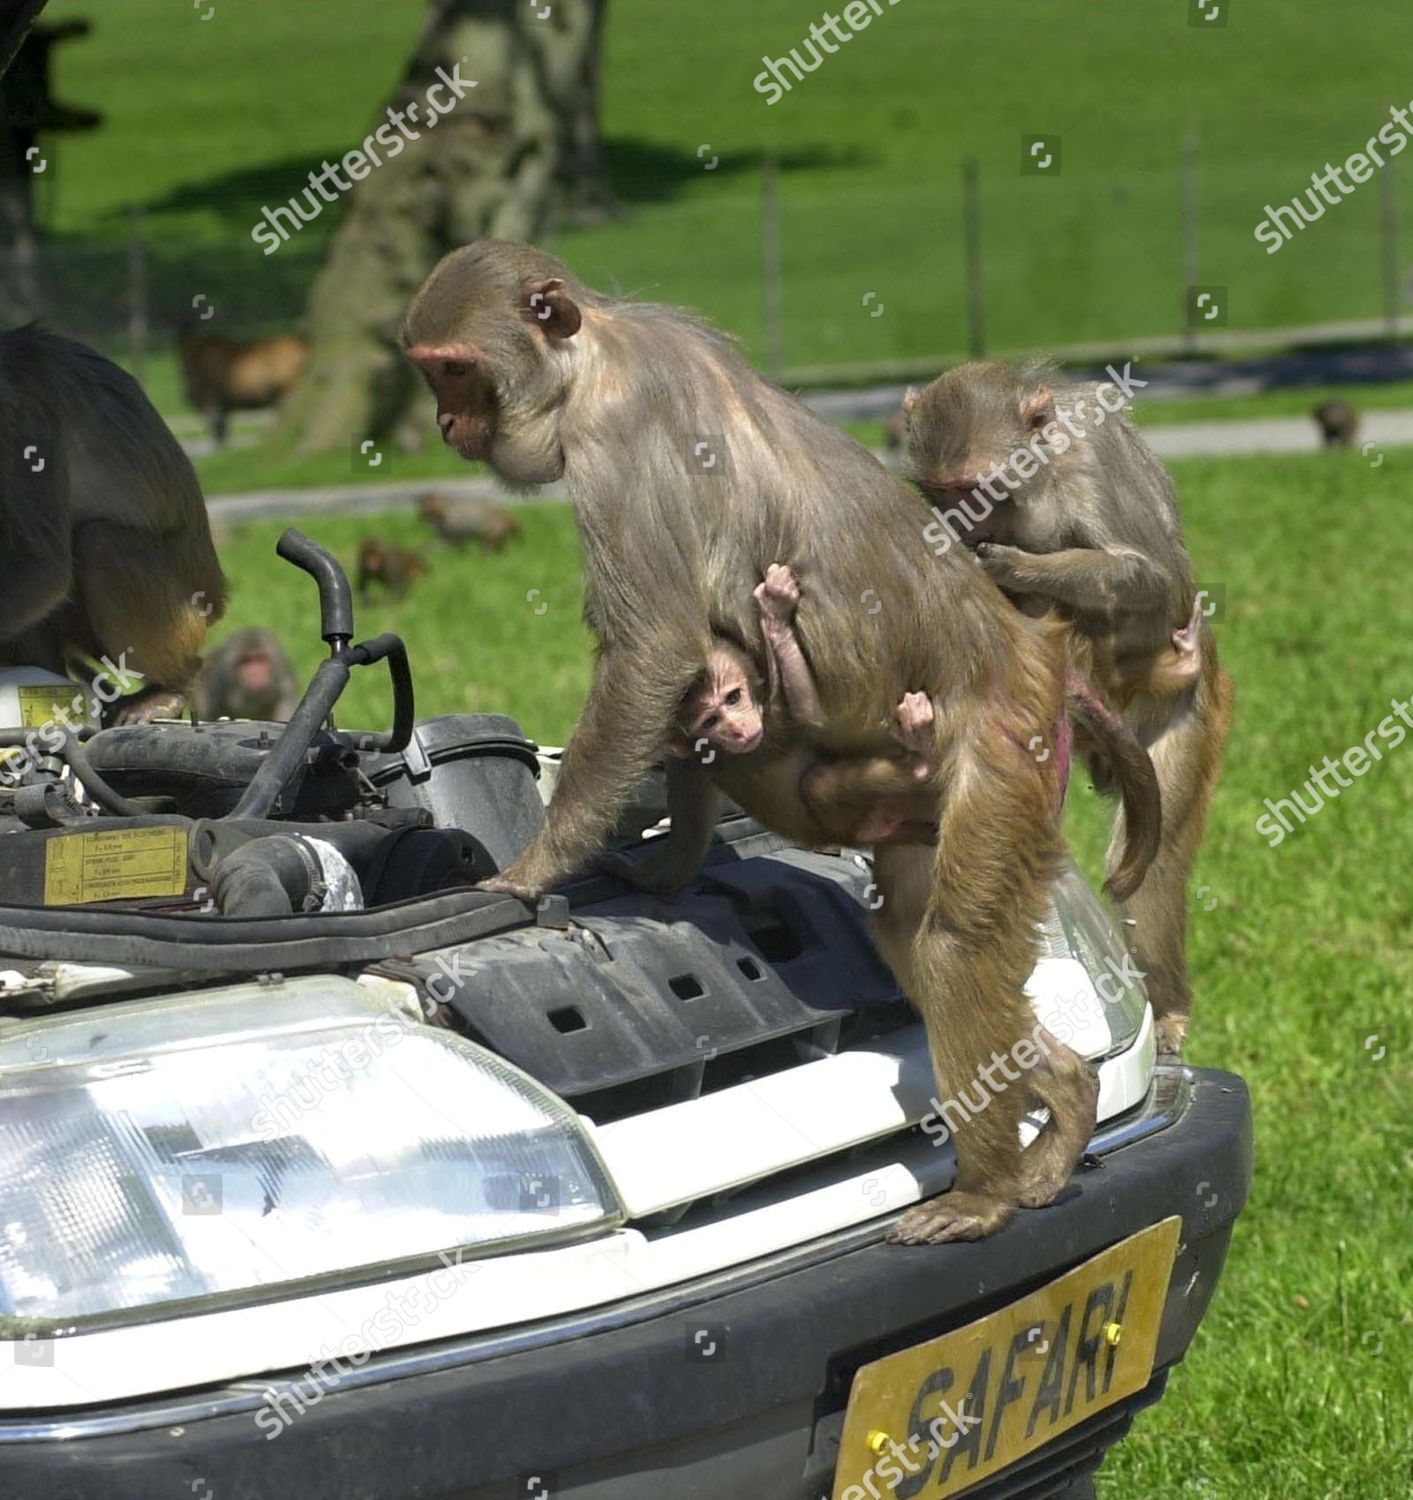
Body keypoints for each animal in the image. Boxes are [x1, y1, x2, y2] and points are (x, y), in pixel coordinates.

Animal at [0, 326, 227, 722]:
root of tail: (218, 597)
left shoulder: (22, 419)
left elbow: (42, 568)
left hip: (187, 616)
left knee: (101, 542)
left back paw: (173, 686)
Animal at [403, 240, 1103, 1242]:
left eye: (454, 370)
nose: (442, 418)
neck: (594, 354)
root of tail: (1034, 661)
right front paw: (667, 866)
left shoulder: (618, 442)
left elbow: (656, 646)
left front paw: (534, 869)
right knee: (905, 930)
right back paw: (1068, 1101)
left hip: (1003, 758)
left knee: (953, 947)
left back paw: (983, 1192)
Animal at [903, 360, 1234, 1055]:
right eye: (939, 491)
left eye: (973, 488)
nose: (962, 524)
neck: (1043, 474)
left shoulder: (1091, 468)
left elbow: (1152, 574)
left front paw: (1019, 566)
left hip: (1184, 709)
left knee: (1153, 864)